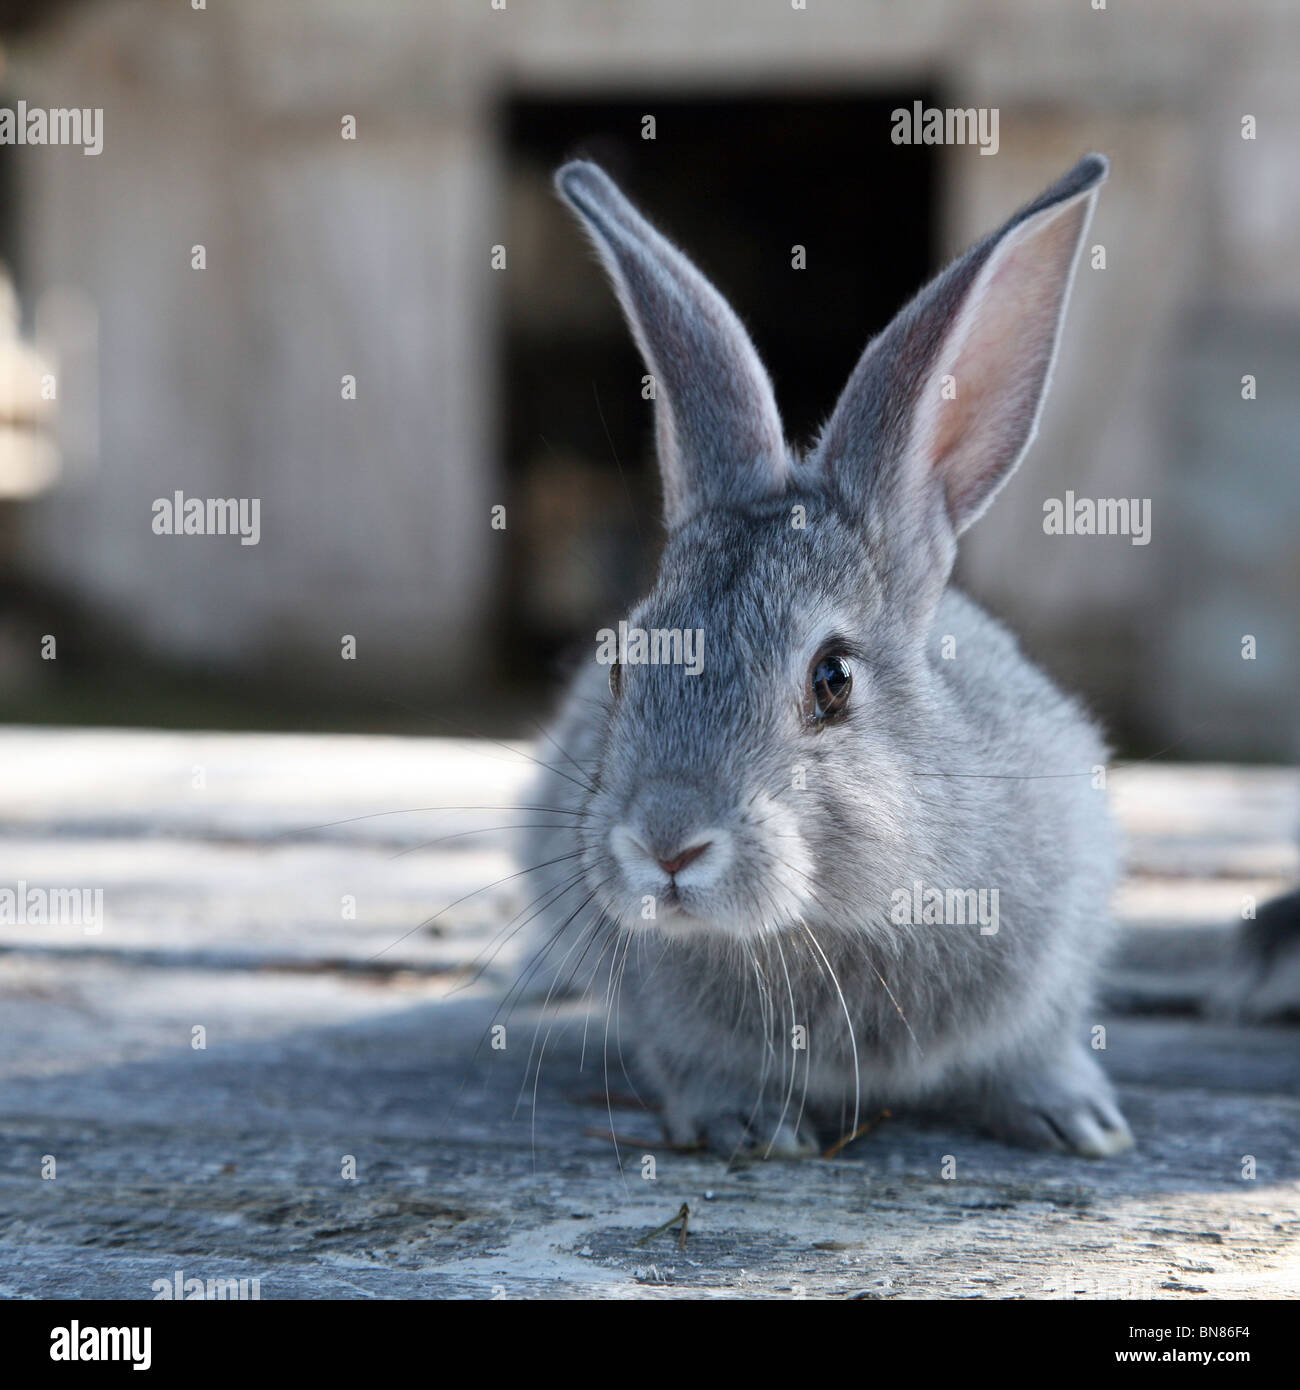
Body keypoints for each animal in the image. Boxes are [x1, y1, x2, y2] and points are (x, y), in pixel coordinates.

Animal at [518, 153, 1134, 1161]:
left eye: (832, 679)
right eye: (619, 663)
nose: (667, 844)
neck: (828, 920)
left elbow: (1037, 1048)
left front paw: (1077, 1120)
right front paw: (748, 1124)